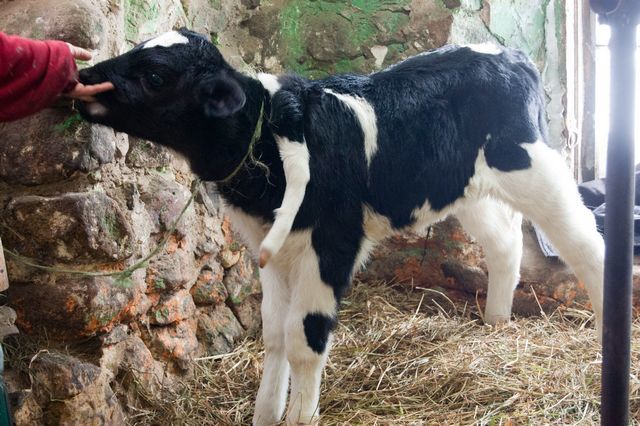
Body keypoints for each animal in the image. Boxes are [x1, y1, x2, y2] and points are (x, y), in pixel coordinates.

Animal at [77, 29, 604, 425]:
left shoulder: (330, 244)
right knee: (505, 243)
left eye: (154, 75)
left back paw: (602, 331)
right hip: (467, 186)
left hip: (532, 164)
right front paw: (265, 416)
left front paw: (300, 417)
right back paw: (496, 321)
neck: (267, 136)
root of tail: (509, 54)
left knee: (586, 243)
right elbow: (274, 334)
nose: (83, 77)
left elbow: (304, 340)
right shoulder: (272, 250)